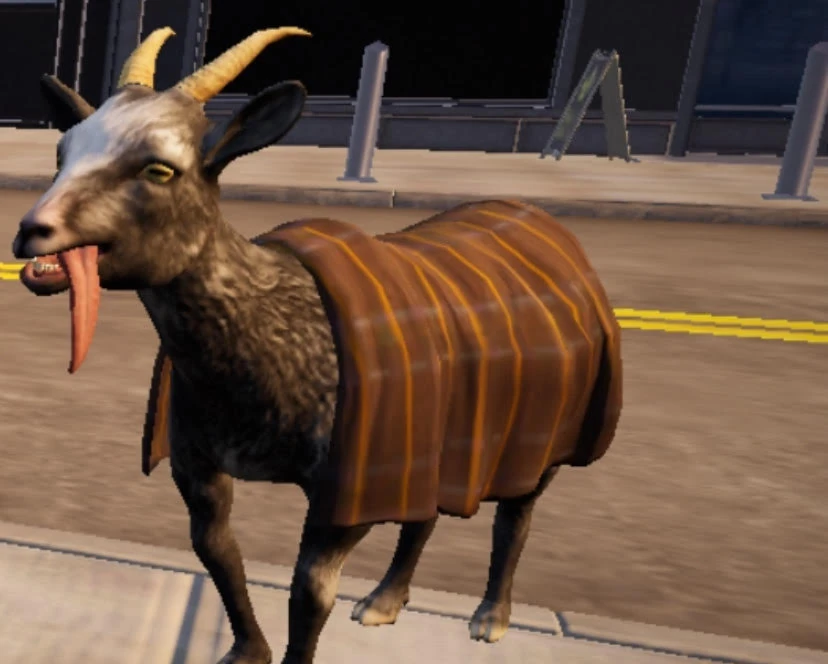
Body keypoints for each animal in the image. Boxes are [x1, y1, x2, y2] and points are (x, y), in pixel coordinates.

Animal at [12, 27, 623, 664]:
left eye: (160, 169)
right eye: (63, 153)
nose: (33, 232)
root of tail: (547, 226)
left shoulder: (349, 484)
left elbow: (310, 592)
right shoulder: (198, 465)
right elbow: (216, 551)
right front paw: (247, 651)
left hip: (550, 433)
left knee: (516, 513)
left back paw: (490, 616)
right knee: (425, 511)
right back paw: (384, 601)